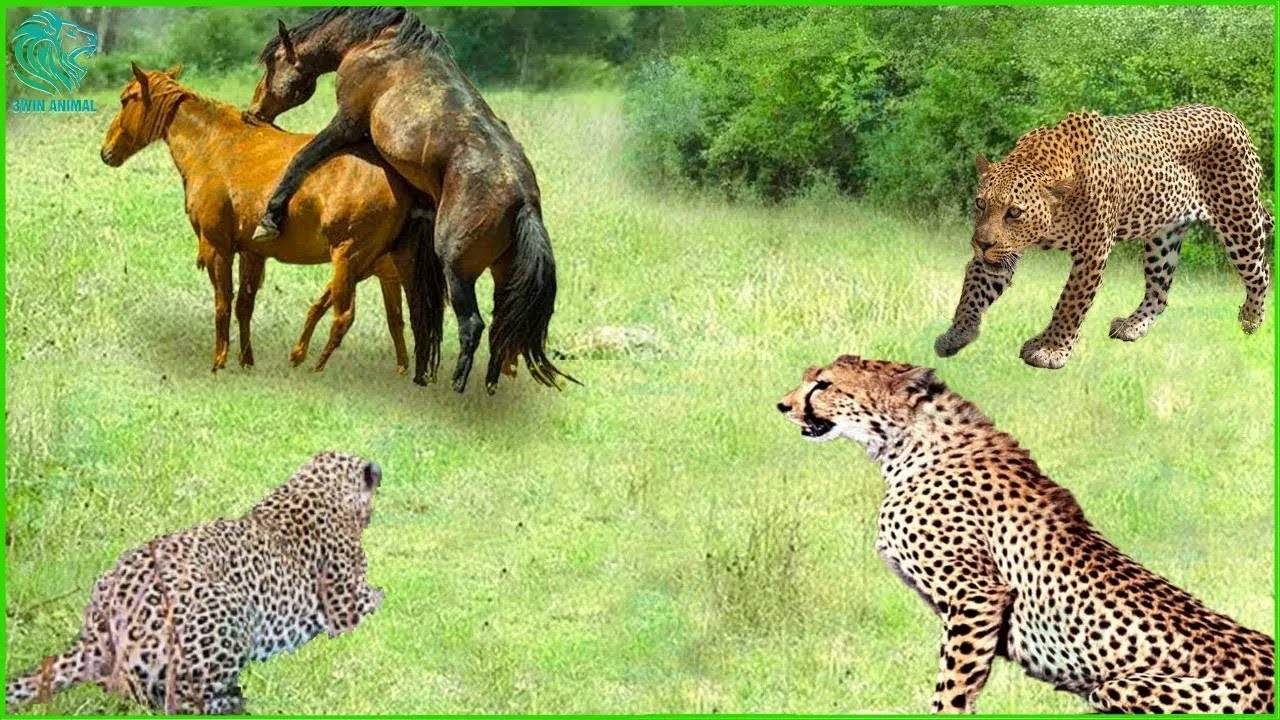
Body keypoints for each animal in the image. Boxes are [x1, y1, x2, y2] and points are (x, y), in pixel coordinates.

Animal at [5, 451, 385, 715]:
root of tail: (102, 625)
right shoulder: (345, 608)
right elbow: (376, 598)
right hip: (231, 614)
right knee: (185, 702)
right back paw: (238, 704)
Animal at [101, 63, 444, 375]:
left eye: (126, 99)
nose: (106, 151)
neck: (213, 144)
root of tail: (400, 178)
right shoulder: (252, 253)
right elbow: (244, 306)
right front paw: (246, 361)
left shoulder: (218, 249)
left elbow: (223, 304)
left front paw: (219, 361)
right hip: (391, 263)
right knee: (414, 316)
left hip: (350, 258)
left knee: (344, 316)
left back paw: (315, 367)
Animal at [247, 7, 576, 394]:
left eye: (273, 63)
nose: (253, 111)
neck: (376, 43)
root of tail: (523, 202)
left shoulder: (348, 121)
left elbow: (303, 158)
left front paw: (270, 218)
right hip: (501, 274)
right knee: (500, 329)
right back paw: (489, 387)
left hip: (456, 269)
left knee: (472, 325)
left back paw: (455, 387)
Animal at [777, 355, 1275, 713]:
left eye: (823, 384)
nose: (782, 405)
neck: (908, 444)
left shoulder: (978, 594)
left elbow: (953, 687)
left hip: (1116, 688)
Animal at [935, 104, 1273, 369]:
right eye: (981, 204)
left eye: (1014, 212)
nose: (981, 244)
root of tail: (1232, 116)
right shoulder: (1002, 252)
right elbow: (973, 289)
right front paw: (958, 334)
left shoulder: (1093, 249)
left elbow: (1070, 302)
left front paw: (1051, 349)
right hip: (1163, 237)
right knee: (1159, 291)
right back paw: (1133, 326)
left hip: (1239, 221)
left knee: (1261, 272)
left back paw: (1251, 319)